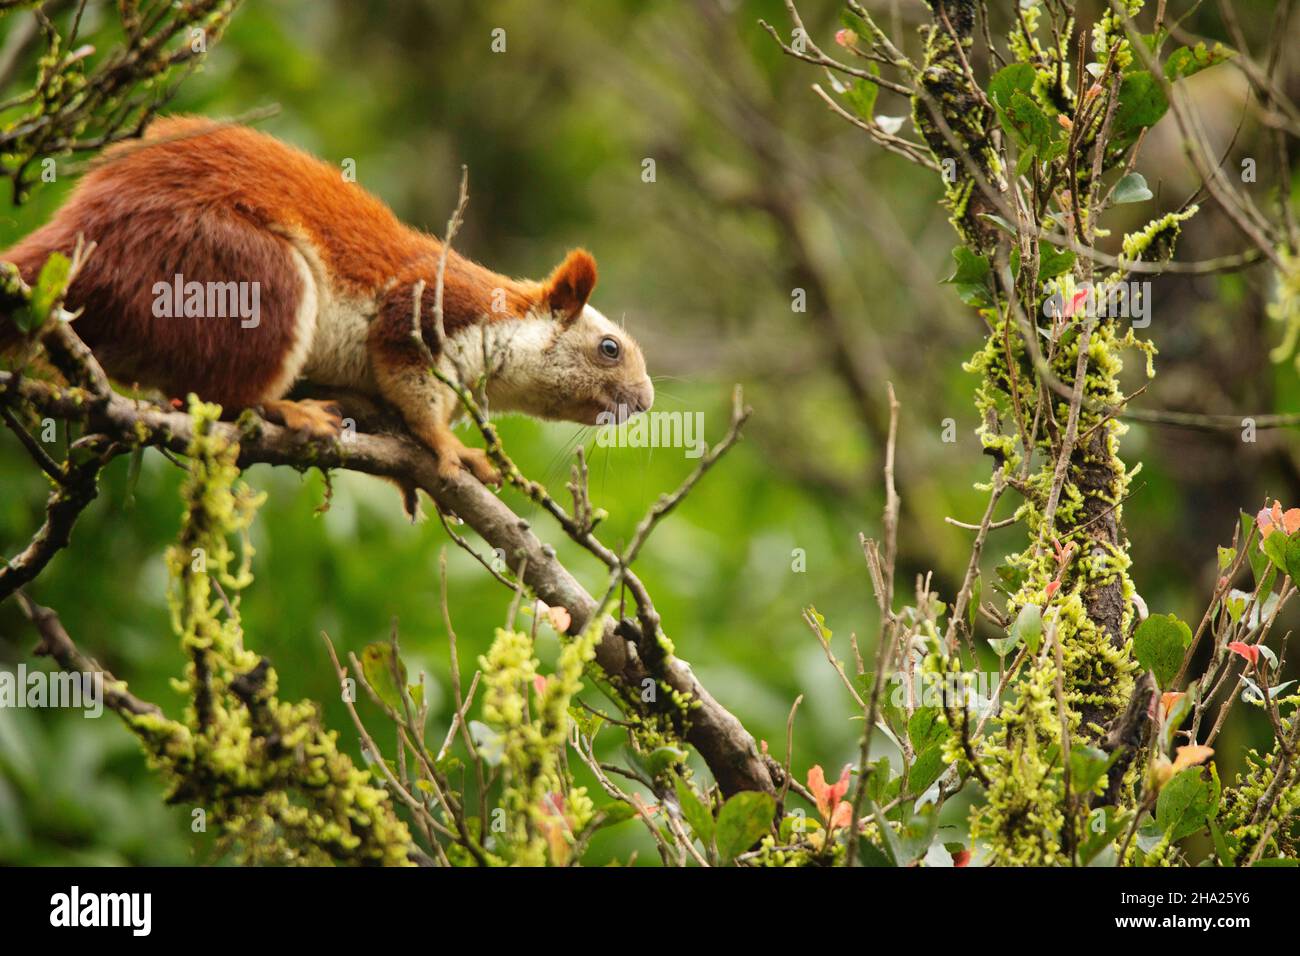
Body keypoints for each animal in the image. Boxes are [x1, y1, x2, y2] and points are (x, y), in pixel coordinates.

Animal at [0, 116, 654, 486]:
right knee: (229, 390)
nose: (646, 403)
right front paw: (448, 447)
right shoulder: (426, 307)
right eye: (609, 348)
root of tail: (83, 230)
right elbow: (410, 378)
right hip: (239, 272)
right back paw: (285, 411)